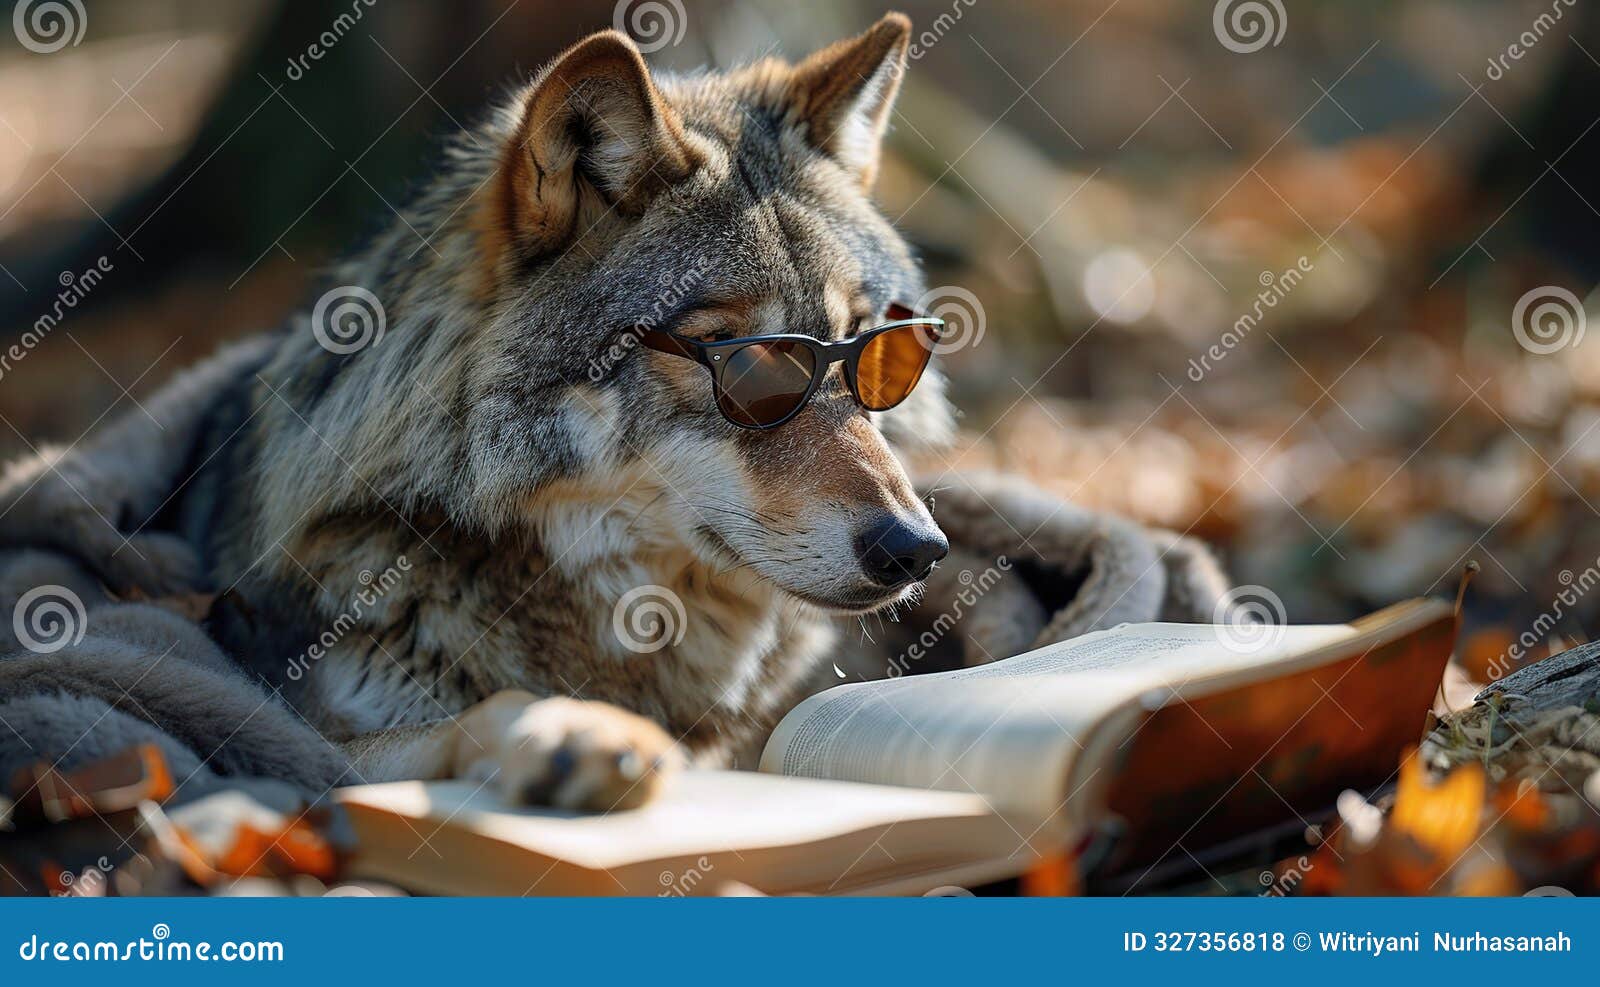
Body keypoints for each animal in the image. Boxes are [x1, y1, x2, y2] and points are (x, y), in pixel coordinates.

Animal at [0, 14, 957, 812]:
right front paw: (571, 733)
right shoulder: (296, 723)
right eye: (749, 362)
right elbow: (442, 723)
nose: (916, 548)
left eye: (876, 351)